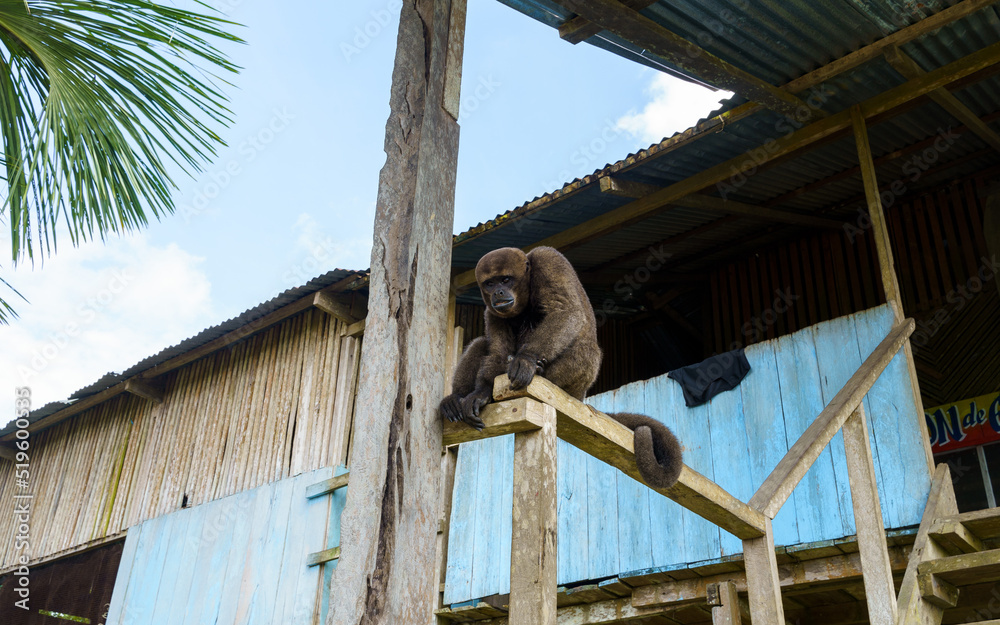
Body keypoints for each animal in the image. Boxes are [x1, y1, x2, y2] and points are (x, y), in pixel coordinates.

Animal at [440, 246, 683, 489]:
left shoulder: (548, 260)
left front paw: (526, 359)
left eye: (506, 280)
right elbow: (497, 348)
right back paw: (456, 399)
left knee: (587, 349)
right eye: (490, 283)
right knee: (483, 343)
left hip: (572, 383)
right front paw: (481, 393)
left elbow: (565, 311)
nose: (498, 292)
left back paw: (538, 370)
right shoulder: (492, 310)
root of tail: (581, 395)